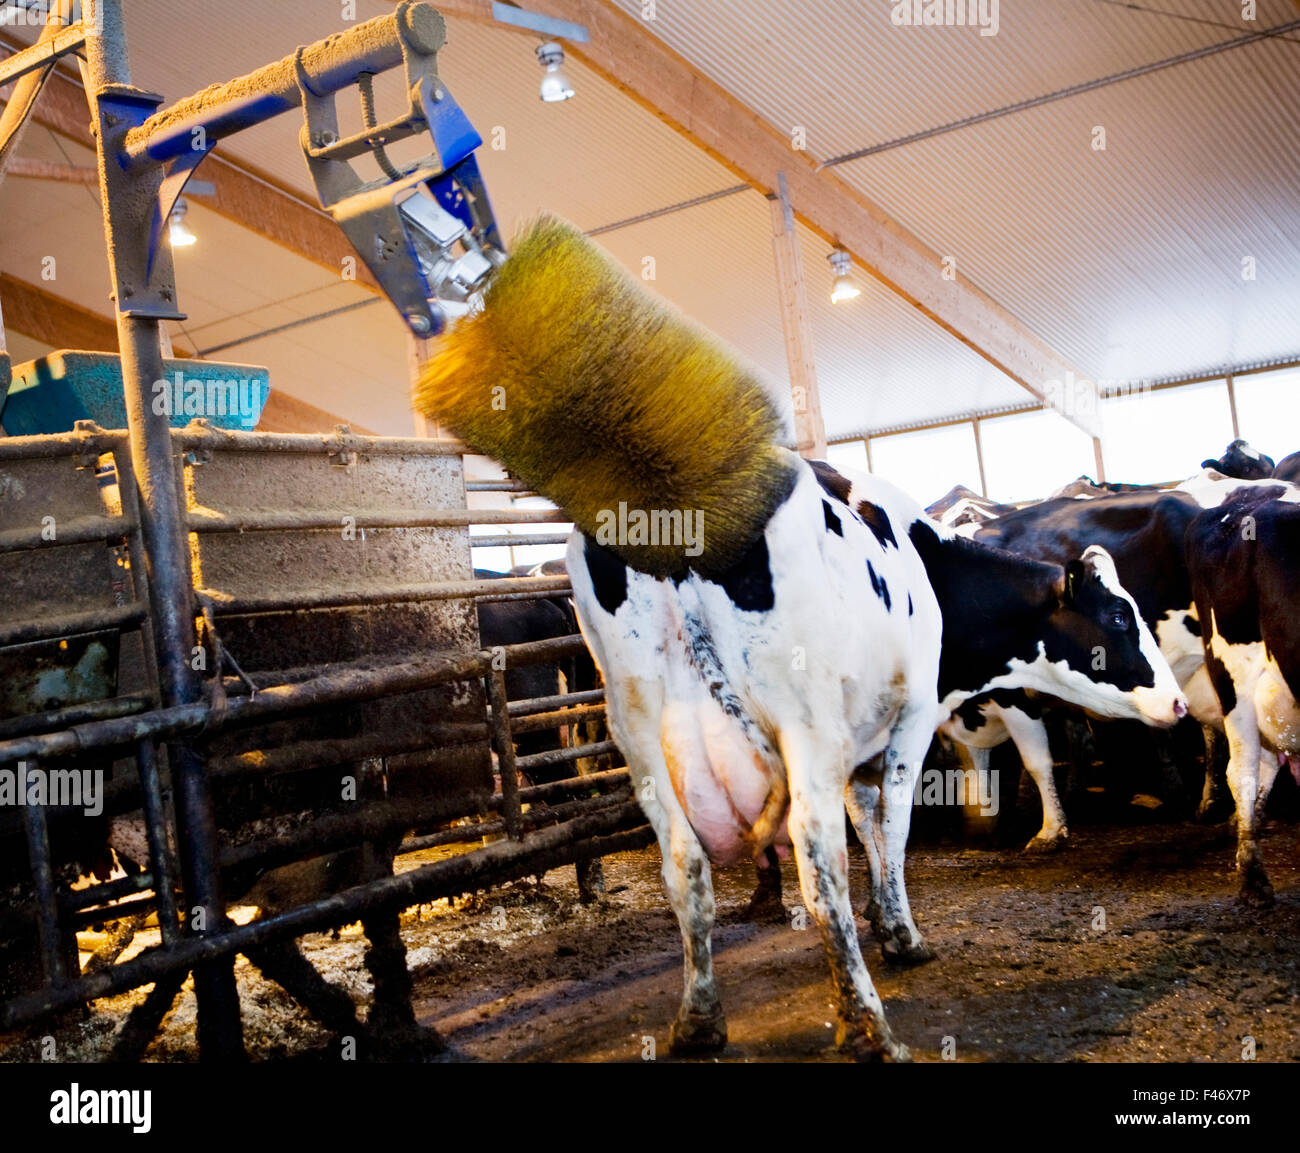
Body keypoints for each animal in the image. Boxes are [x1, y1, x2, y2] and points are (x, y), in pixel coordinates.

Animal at [566, 455, 1185, 1060]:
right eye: (1119, 617)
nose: (1178, 703)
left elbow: (865, 819)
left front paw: (880, 915)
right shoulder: (912, 715)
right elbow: (893, 826)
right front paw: (902, 934)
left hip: (639, 731)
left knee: (684, 866)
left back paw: (698, 1020)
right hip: (805, 723)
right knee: (818, 861)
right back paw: (866, 1024)